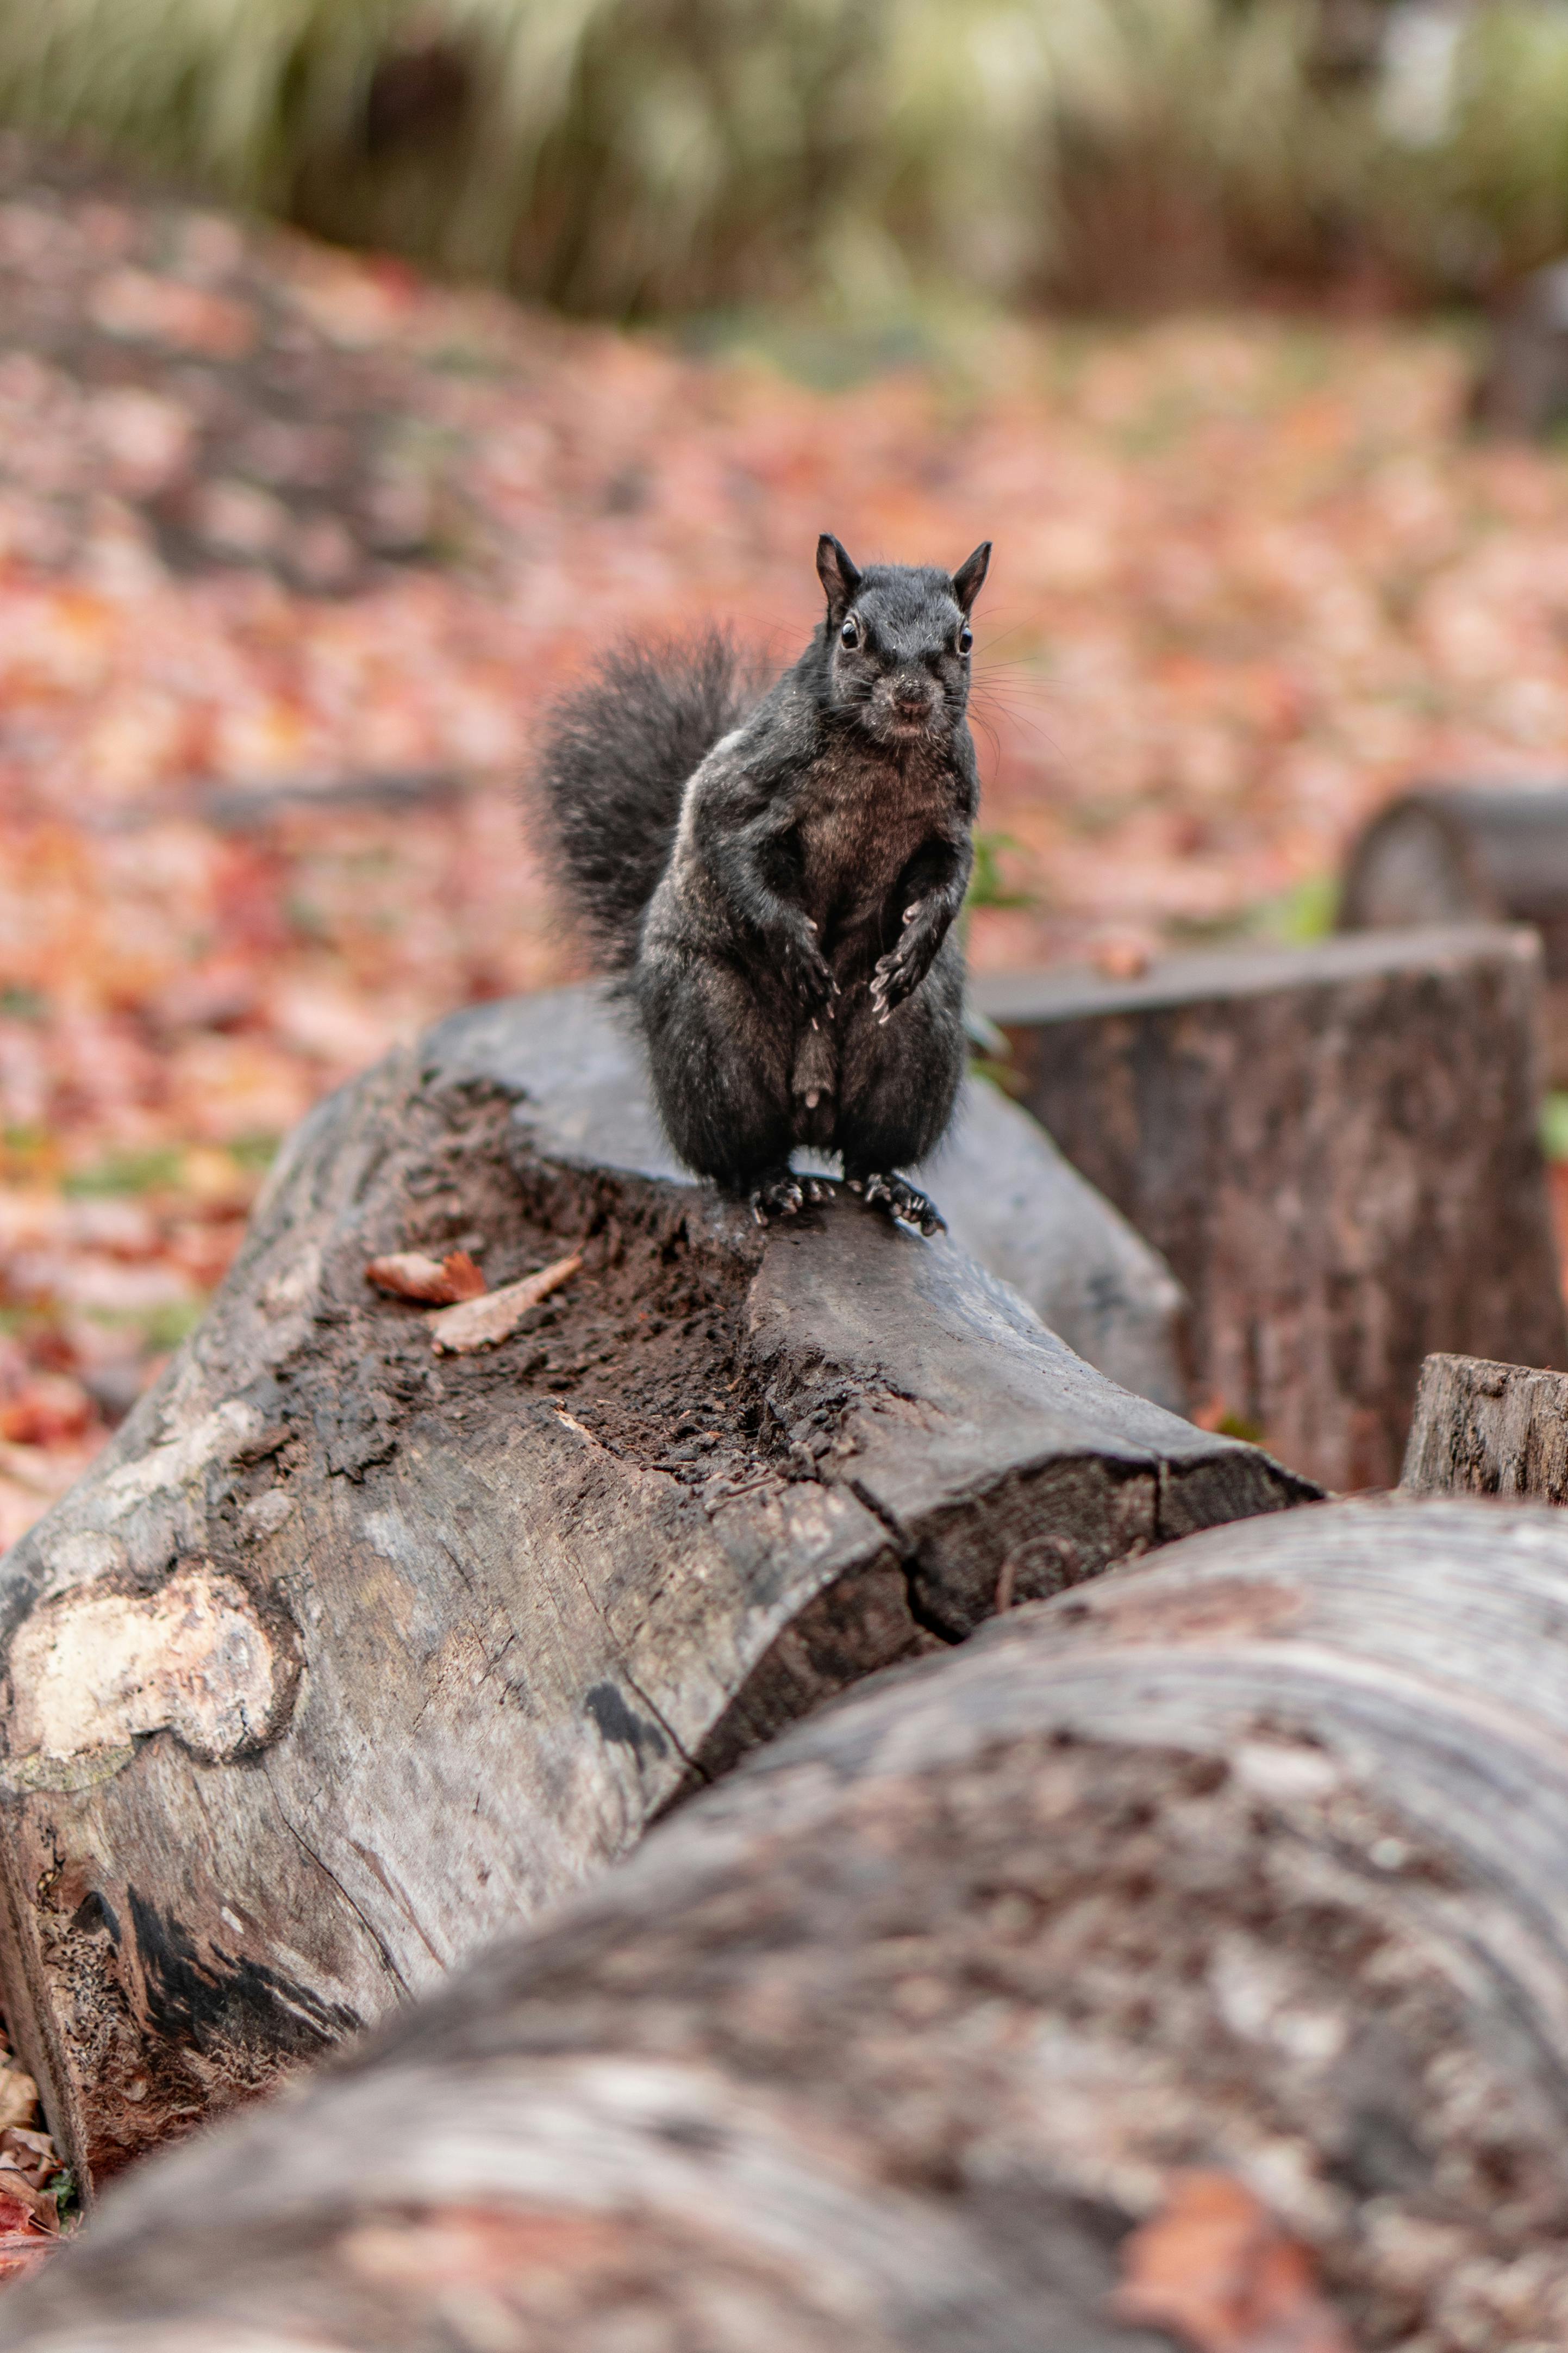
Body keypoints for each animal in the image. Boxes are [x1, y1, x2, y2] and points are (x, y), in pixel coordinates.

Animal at [535, 532, 991, 1234]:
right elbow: (733, 851)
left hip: (914, 1047)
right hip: (716, 1042)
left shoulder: (952, 823)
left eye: (964, 638)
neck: (884, 753)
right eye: (851, 635)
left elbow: (950, 876)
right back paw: (773, 1185)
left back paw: (889, 1187)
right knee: (742, 1154)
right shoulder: (743, 786)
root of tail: (811, 1100)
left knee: (864, 1154)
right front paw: (795, 950)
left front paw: (917, 943)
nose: (913, 695)